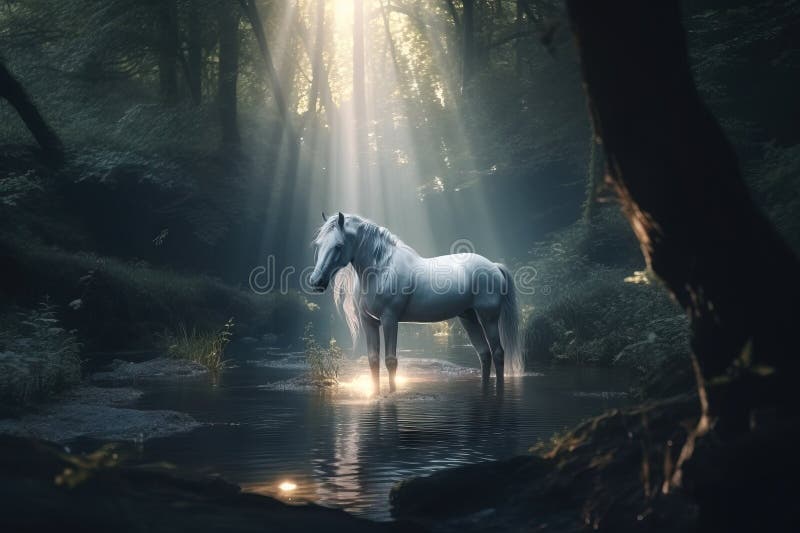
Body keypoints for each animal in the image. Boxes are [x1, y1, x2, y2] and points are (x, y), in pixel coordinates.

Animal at [309, 212, 522, 394]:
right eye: (318, 245)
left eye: (338, 245)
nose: (316, 281)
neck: (382, 269)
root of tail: (493, 266)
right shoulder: (369, 322)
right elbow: (373, 360)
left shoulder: (390, 320)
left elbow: (391, 361)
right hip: (468, 318)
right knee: (484, 354)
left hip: (489, 318)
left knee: (498, 353)